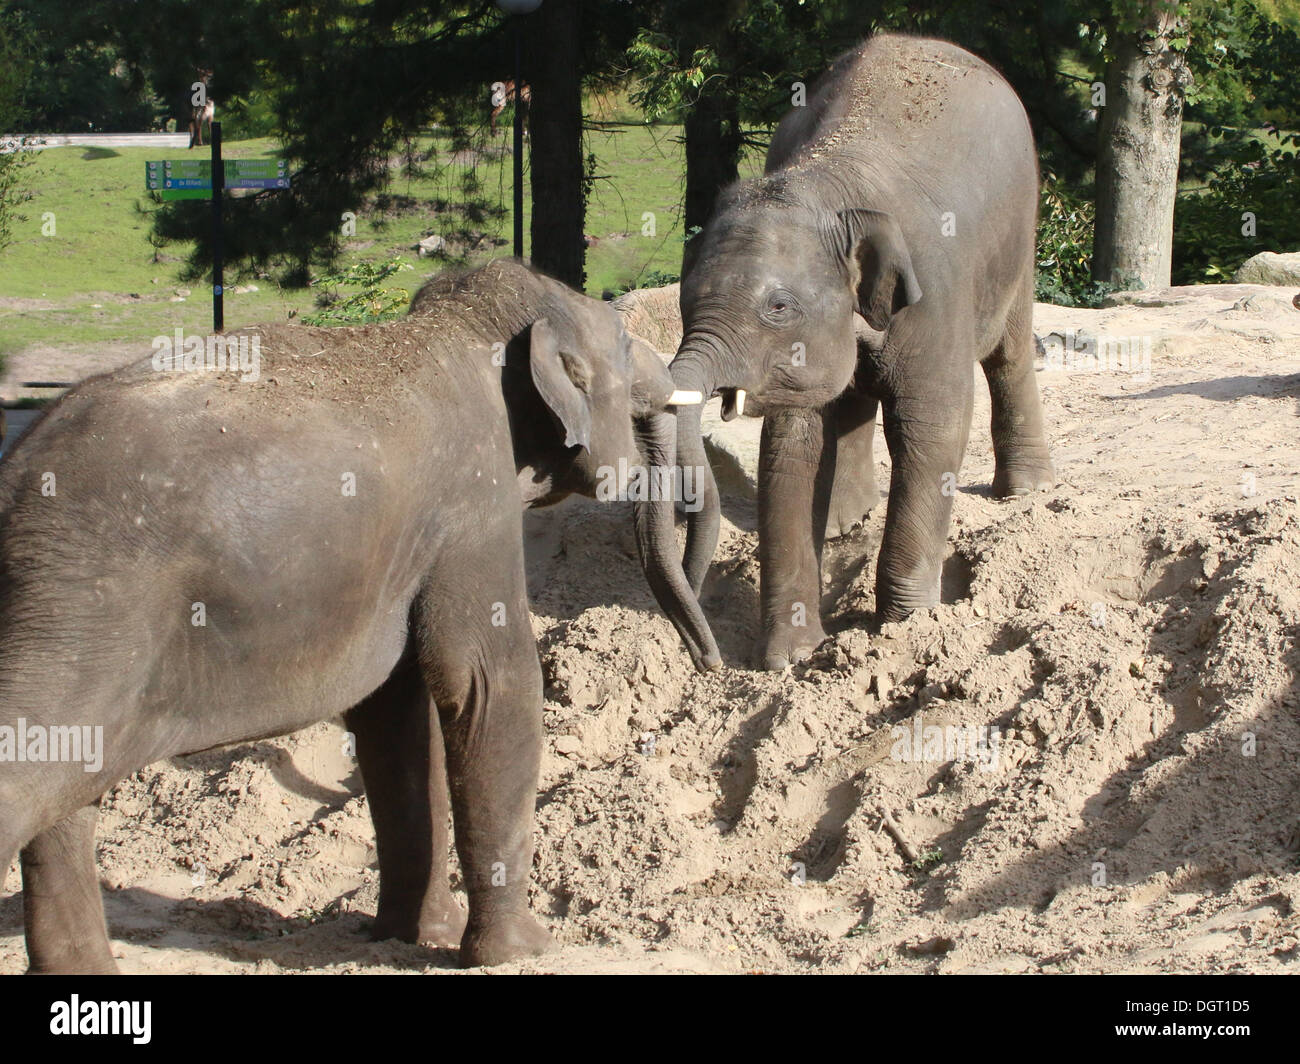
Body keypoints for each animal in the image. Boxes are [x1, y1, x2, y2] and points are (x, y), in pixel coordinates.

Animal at [0, 257, 711, 973]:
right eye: (622, 342)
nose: (706, 660)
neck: (457, 327)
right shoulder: (472, 502)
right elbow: (487, 681)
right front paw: (521, 951)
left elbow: (394, 710)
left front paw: (416, 935)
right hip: (84, 613)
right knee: (31, 771)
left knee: (67, 799)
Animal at [635, 34, 1056, 671]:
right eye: (685, 300)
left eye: (778, 306)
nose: (705, 658)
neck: (828, 180)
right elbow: (792, 447)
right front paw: (791, 657)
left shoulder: (935, 293)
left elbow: (932, 429)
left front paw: (903, 628)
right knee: (852, 399)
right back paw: (842, 520)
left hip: (1019, 233)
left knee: (1007, 352)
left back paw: (1025, 489)